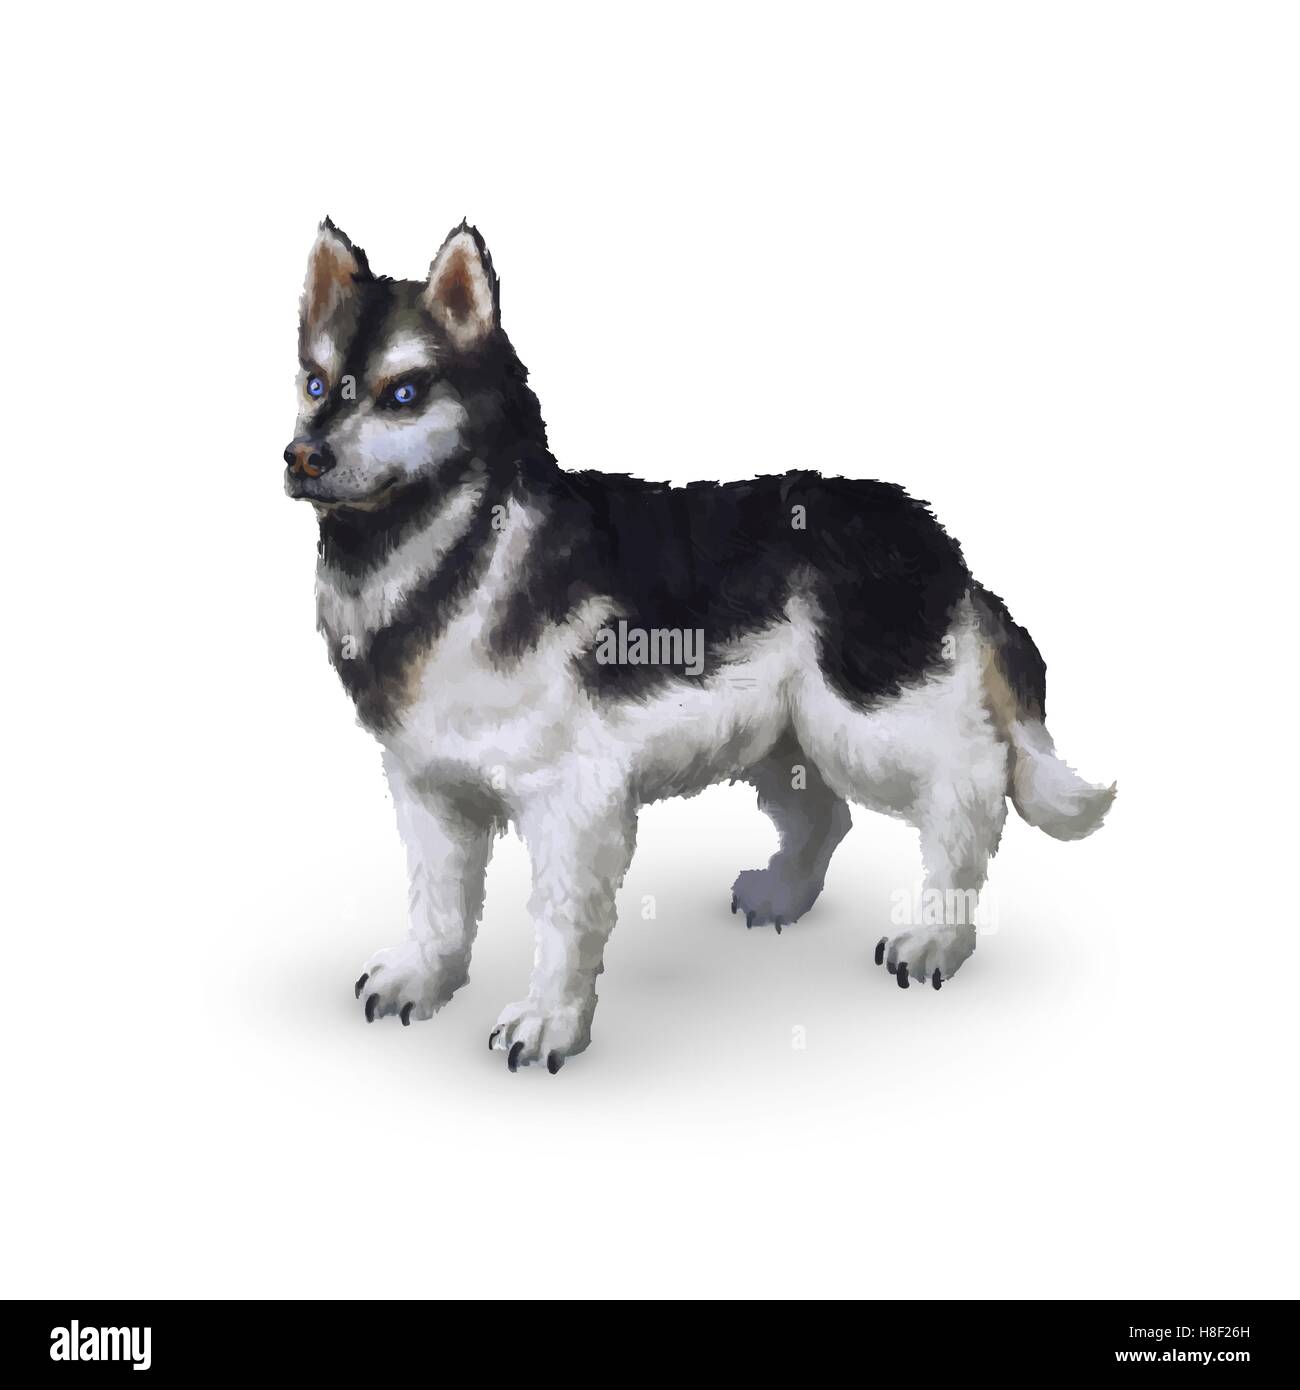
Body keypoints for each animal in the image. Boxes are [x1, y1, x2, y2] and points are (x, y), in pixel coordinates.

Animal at [284, 218, 1115, 1073]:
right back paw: (787, 893)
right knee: (827, 816)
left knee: (971, 788)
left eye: (403, 393)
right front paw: (425, 975)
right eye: (314, 385)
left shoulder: (573, 801)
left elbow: (560, 918)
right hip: (782, 735)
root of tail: (933, 536)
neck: (460, 549)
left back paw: (938, 936)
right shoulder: (428, 788)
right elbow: (439, 901)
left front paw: (549, 1020)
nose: (302, 457)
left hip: (864, 721)